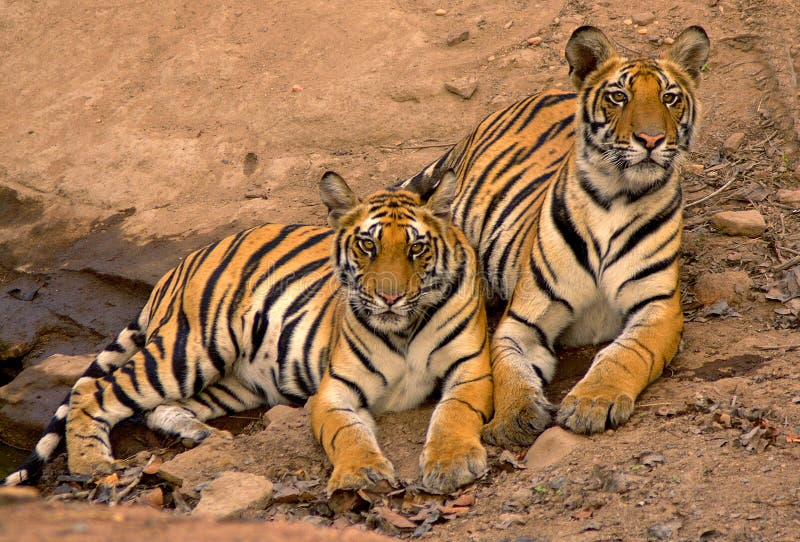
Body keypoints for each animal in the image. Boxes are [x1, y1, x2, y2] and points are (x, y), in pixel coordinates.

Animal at [5, 170, 493, 496]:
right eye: (367, 244)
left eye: (417, 247)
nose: (389, 297)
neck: (402, 329)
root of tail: (179, 265)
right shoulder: (335, 390)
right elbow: (347, 433)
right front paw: (362, 472)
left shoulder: (472, 369)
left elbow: (454, 413)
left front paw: (451, 465)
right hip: (189, 350)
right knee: (93, 392)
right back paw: (91, 463)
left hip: (237, 383)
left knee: (153, 409)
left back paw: (203, 436)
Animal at [399, 25, 710, 446]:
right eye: (619, 96)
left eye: (669, 97)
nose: (650, 139)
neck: (617, 196)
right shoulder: (524, 318)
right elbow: (509, 368)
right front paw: (513, 417)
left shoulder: (658, 308)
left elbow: (622, 355)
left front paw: (593, 402)